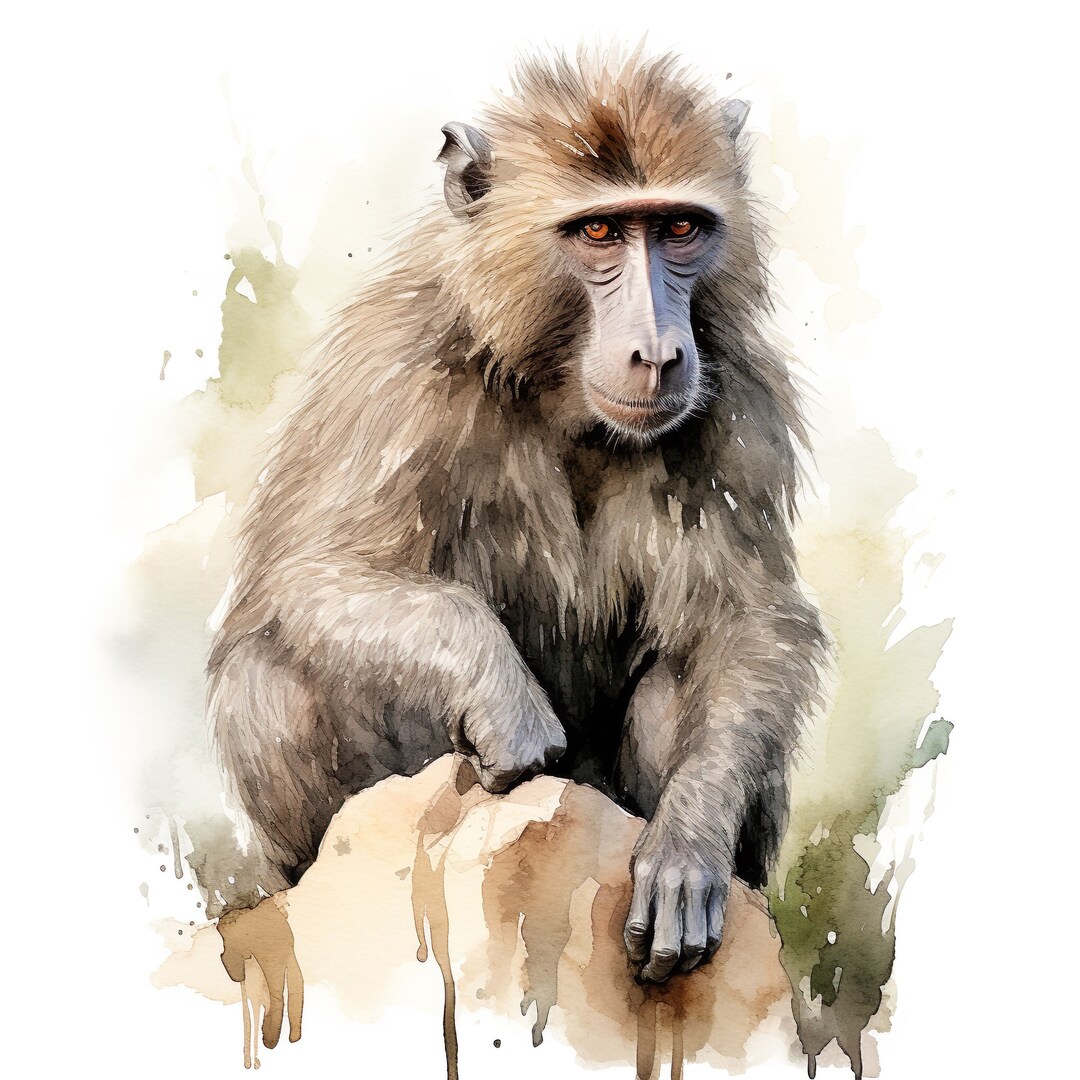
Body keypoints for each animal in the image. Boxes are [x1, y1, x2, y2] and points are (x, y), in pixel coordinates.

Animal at [207, 49, 825, 985]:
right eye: (599, 234)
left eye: (679, 229)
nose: (657, 353)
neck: (558, 387)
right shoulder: (401, 369)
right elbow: (306, 578)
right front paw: (504, 696)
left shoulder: (736, 399)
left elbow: (749, 624)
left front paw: (687, 844)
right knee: (270, 677)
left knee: (679, 676)